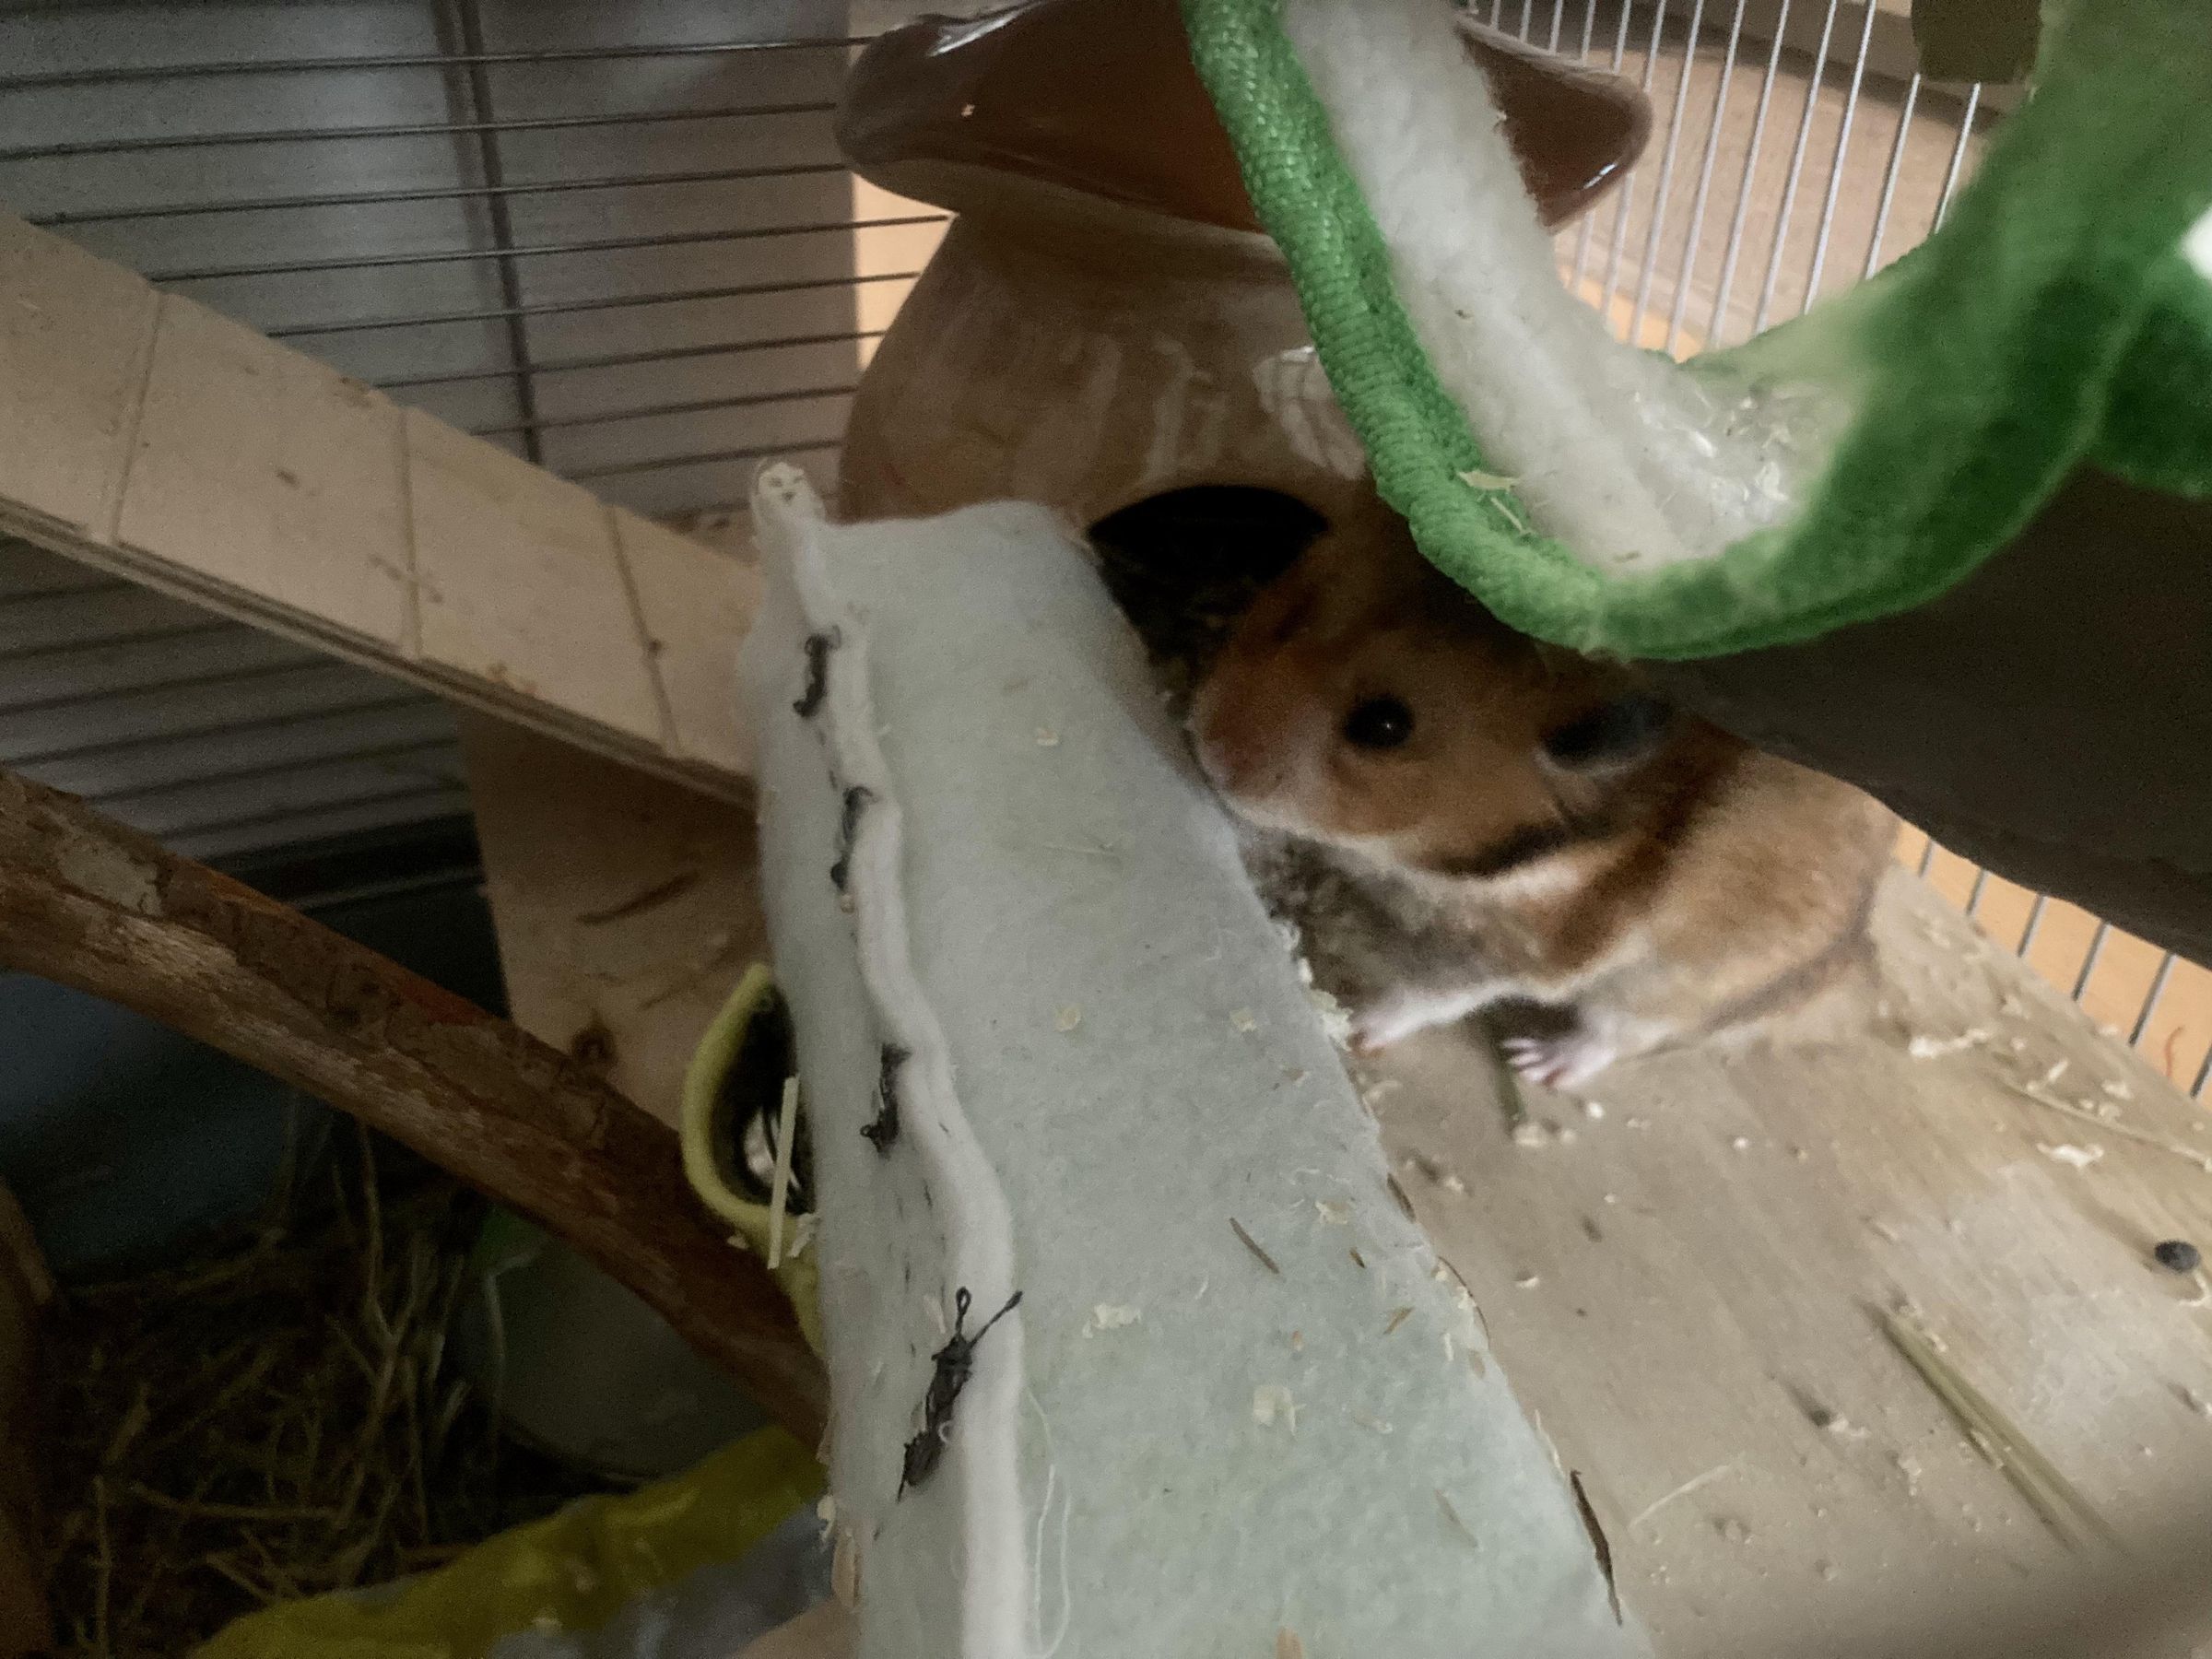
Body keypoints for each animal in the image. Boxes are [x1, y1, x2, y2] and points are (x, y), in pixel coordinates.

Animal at [1186, 499, 1898, 1088]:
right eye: (1292, 611)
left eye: (1384, 727)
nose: (1202, 741)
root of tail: (1853, 959)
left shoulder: (1524, 950)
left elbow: (1429, 993)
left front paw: (1352, 1026)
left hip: (1671, 990)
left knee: (1618, 1040)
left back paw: (1536, 1064)